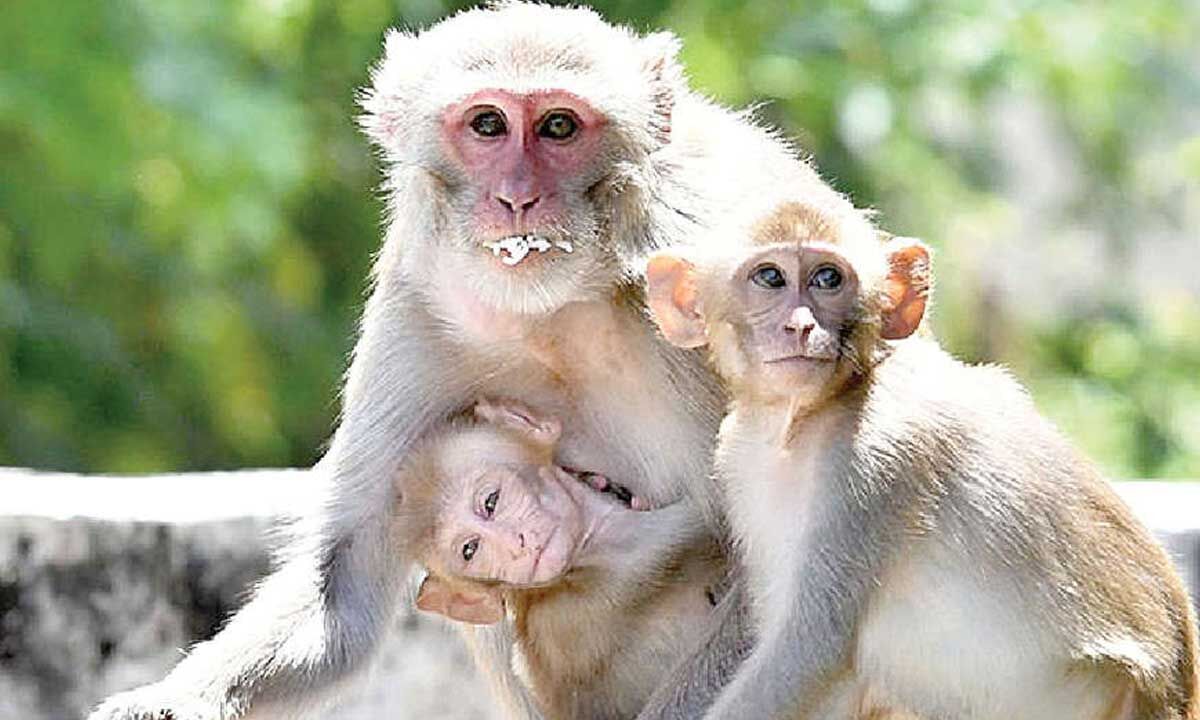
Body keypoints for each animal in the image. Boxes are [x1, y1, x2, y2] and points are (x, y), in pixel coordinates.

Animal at [89, 4, 850, 719]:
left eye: (559, 128)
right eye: (487, 125)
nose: (517, 197)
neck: (553, 308)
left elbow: (782, 597)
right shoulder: (417, 307)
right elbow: (344, 591)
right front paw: (168, 700)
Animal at [644, 197, 1200, 720]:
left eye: (827, 278)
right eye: (770, 278)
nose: (800, 326)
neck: (807, 419)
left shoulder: (872, 467)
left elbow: (809, 652)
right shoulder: (738, 460)